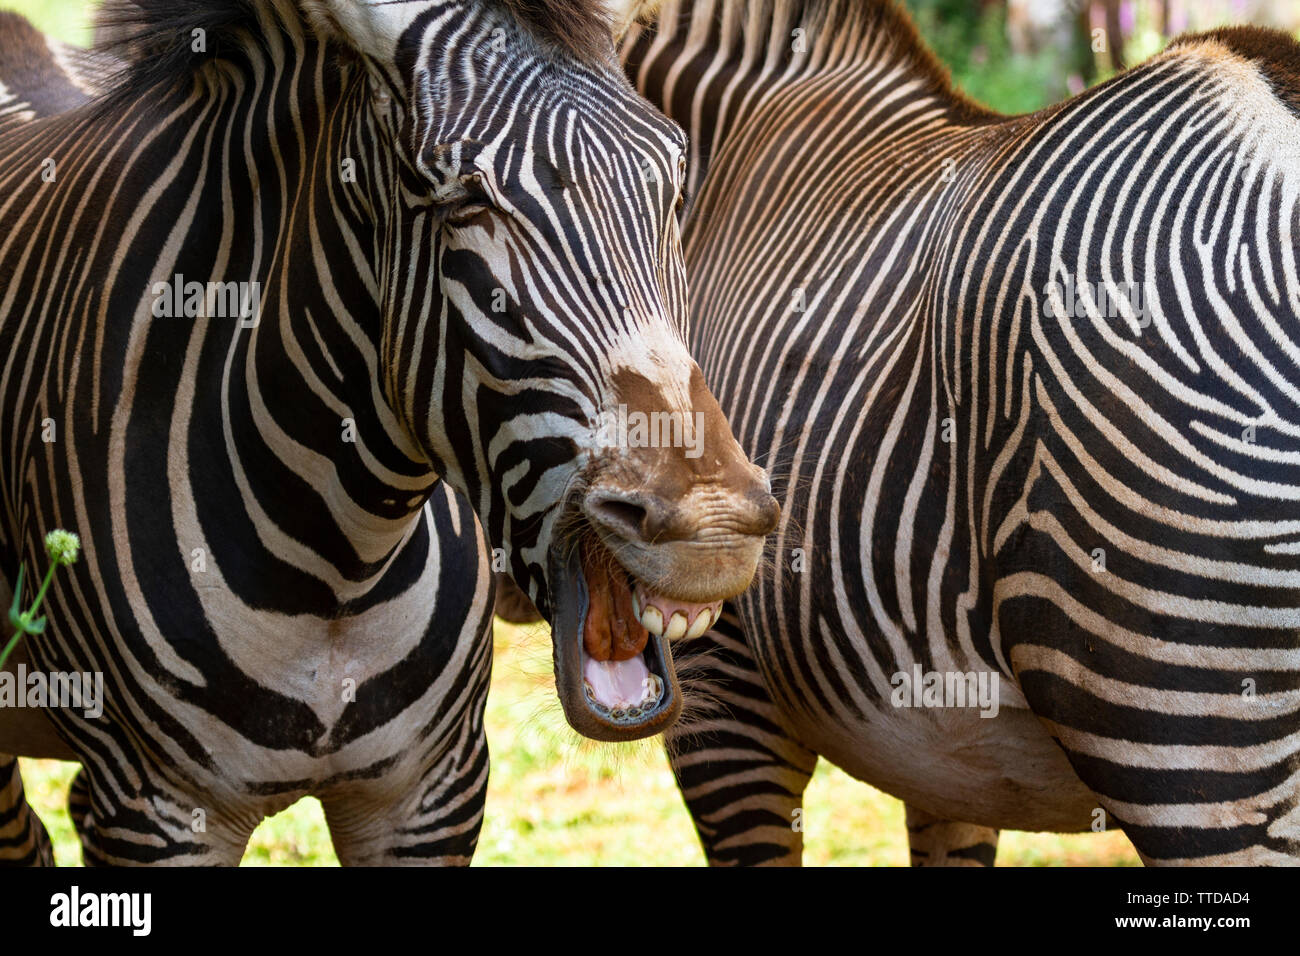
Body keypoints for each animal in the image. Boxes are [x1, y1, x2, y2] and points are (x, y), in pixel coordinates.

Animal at [0, 0, 777, 865]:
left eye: (673, 190)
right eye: (464, 205)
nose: (713, 527)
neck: (335, 569)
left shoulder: (430, 799)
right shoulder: (155, 812)